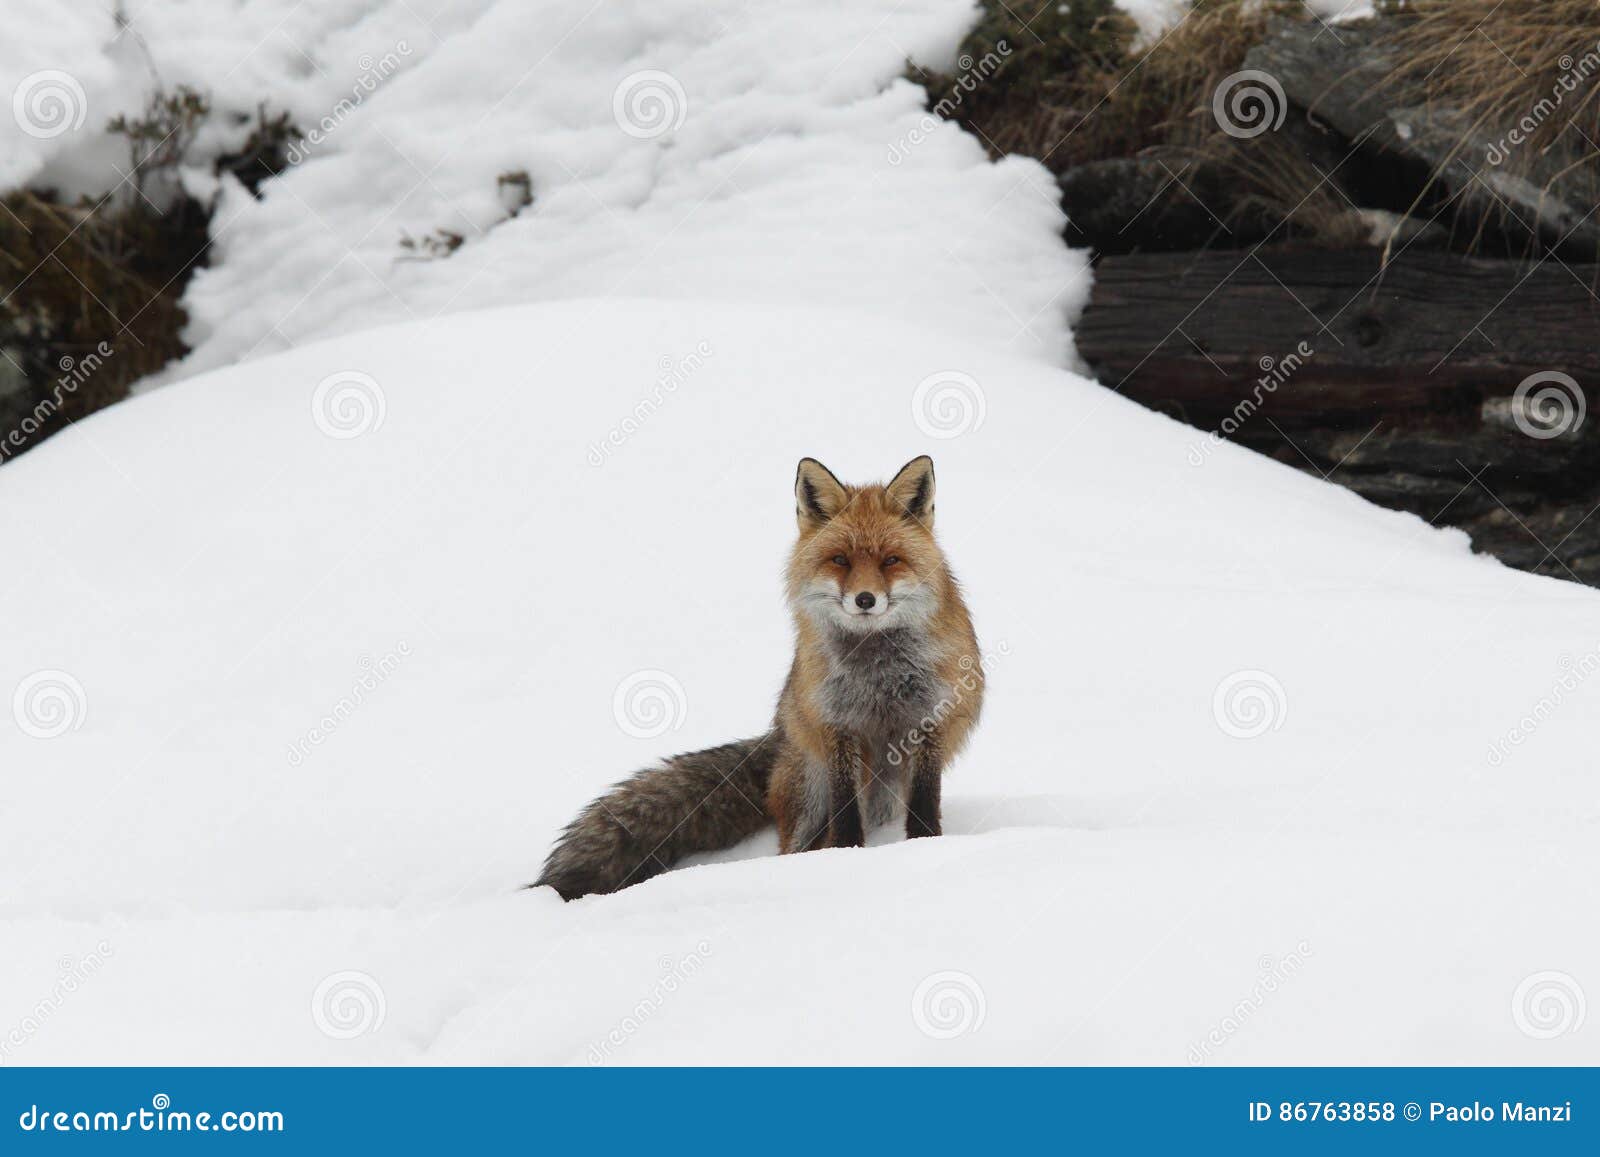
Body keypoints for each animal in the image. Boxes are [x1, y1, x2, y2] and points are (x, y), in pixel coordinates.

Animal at [535, 454, 983, 900]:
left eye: (891, 560)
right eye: (840, 560)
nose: (865, 600)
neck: (877, 671)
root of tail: (779, 737)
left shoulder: (929, 720)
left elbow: (924, 804)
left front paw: (924, 849)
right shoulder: (836, 725)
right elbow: (844, 813)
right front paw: (844, 858)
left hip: (881, 791)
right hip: (811, 786)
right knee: (796, 845)